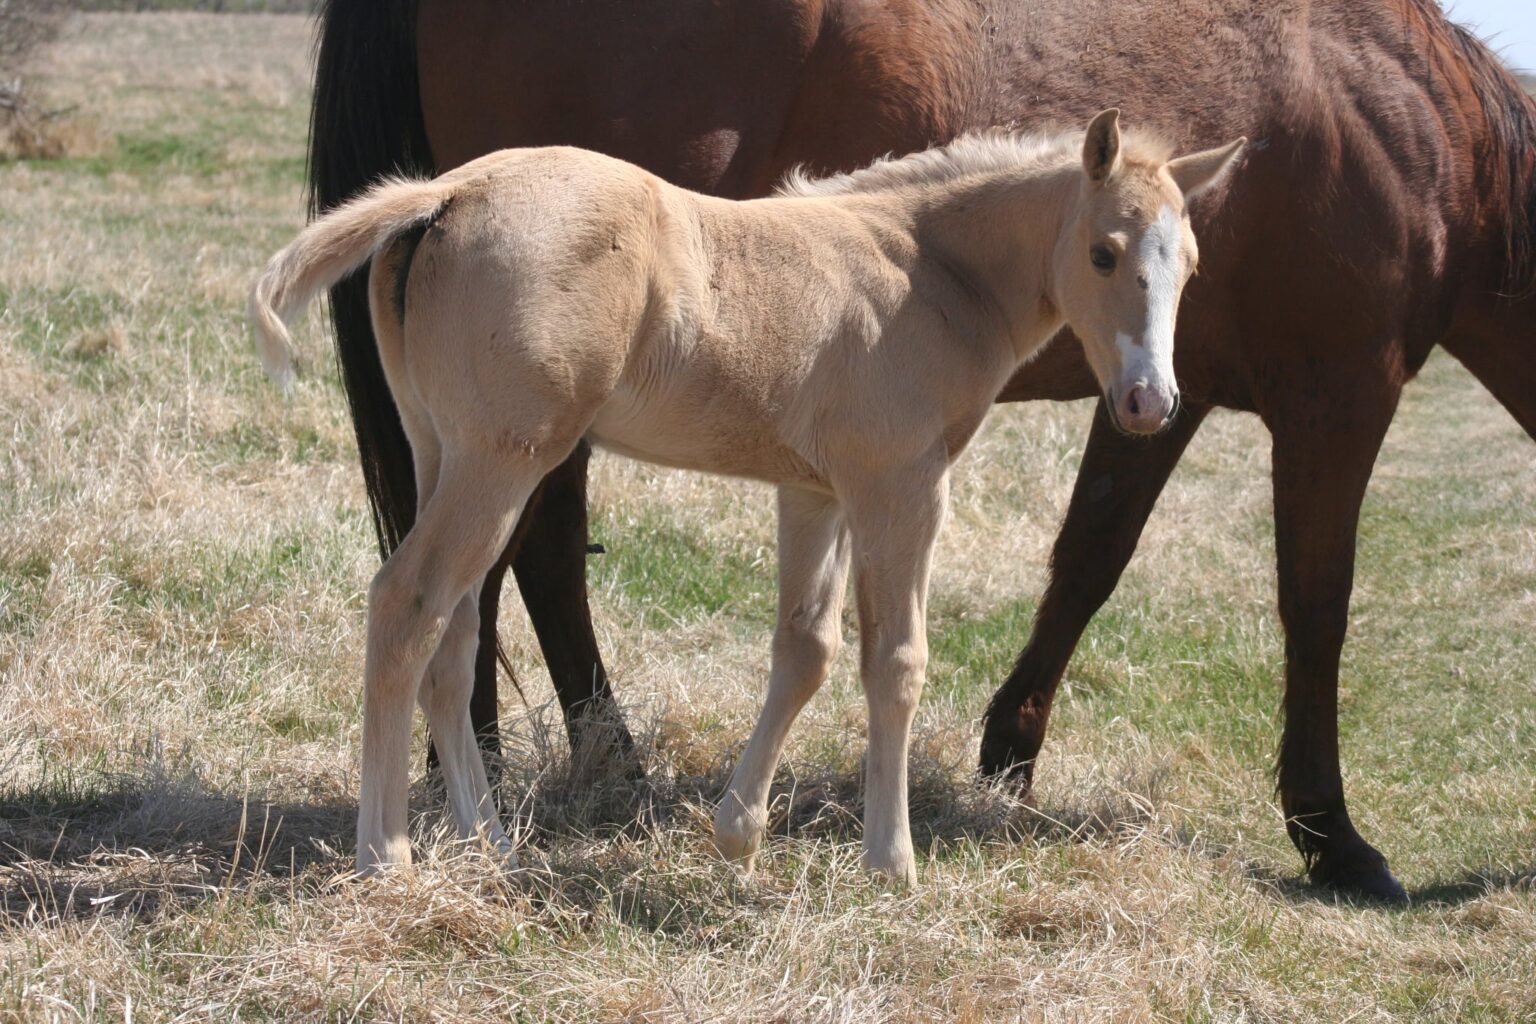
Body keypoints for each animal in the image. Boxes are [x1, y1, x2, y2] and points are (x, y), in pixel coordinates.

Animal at [252, 115, 1248, 878]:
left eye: (1194, 264)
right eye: (1104, 253)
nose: (1149, 403)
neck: (926, 271)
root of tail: (447, 193)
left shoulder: (816, 493)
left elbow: (805, 650)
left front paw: (738, 834)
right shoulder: (903, 486)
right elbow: (896, 660)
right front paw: (892, 862)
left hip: (444, 451)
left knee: (453, 636)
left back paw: (491, 844)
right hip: (503, 461)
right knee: (407, 604)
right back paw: (384, 856)